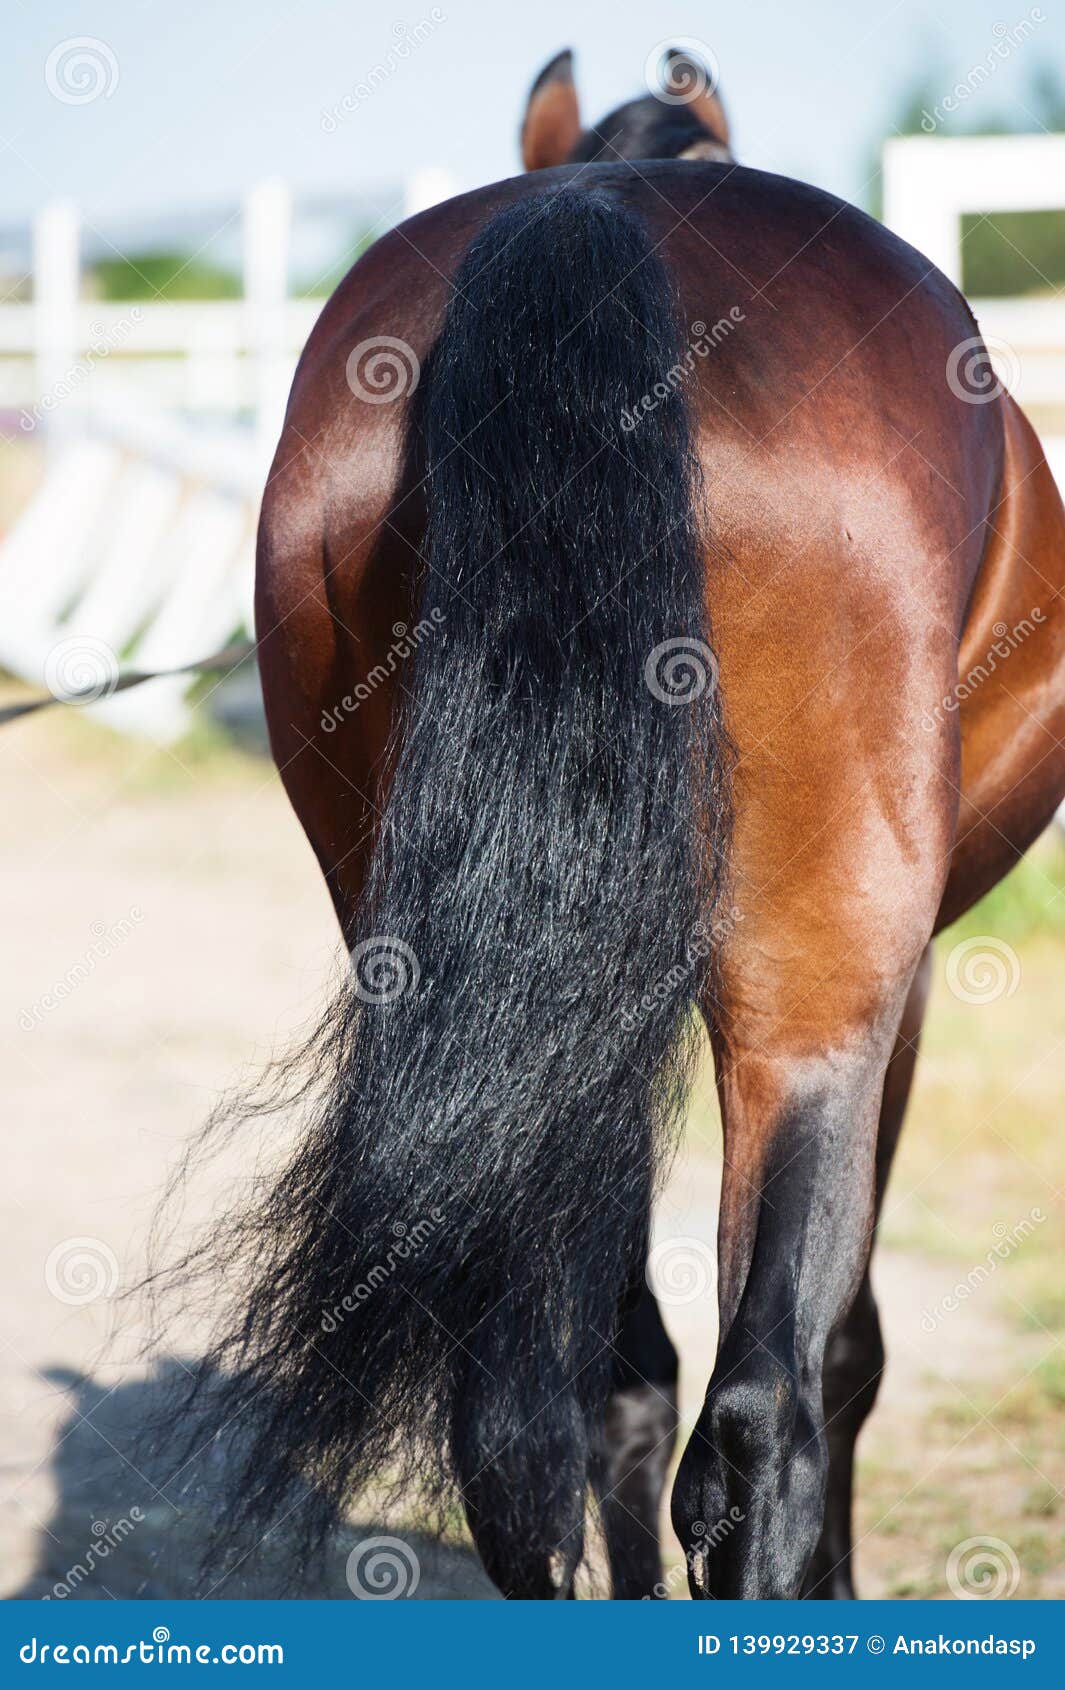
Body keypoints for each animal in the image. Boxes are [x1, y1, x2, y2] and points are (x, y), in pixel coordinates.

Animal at [190, 49, 1065, 1600]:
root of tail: (590, 216)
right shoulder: (895, 992)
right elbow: (843, 1346)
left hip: (514, 986)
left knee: (534, 1421)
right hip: (813, 987)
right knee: (761, 1417)